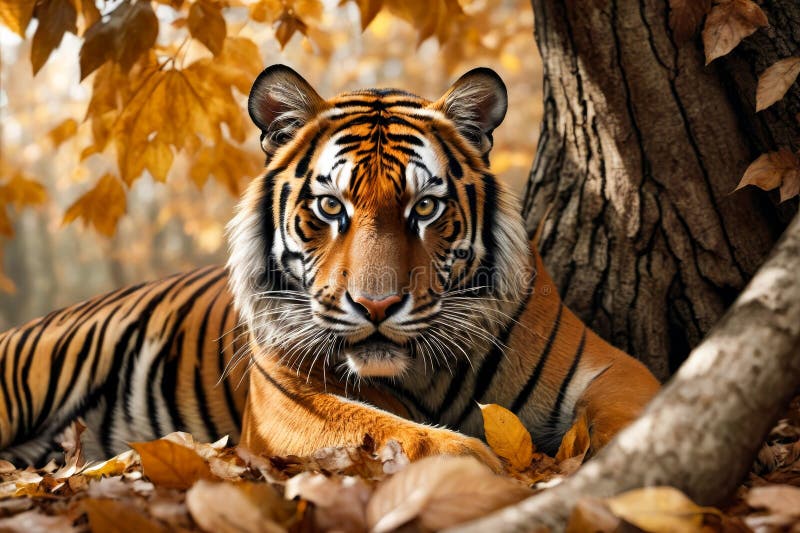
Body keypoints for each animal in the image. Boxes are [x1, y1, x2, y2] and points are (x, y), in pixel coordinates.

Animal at [0, 65, 660, 468]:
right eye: (330, 206)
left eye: (425, 207)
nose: (376, 306)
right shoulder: (289, 405)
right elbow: (388, 429)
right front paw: (480, 465)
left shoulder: (612, 368)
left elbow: (635, 418)